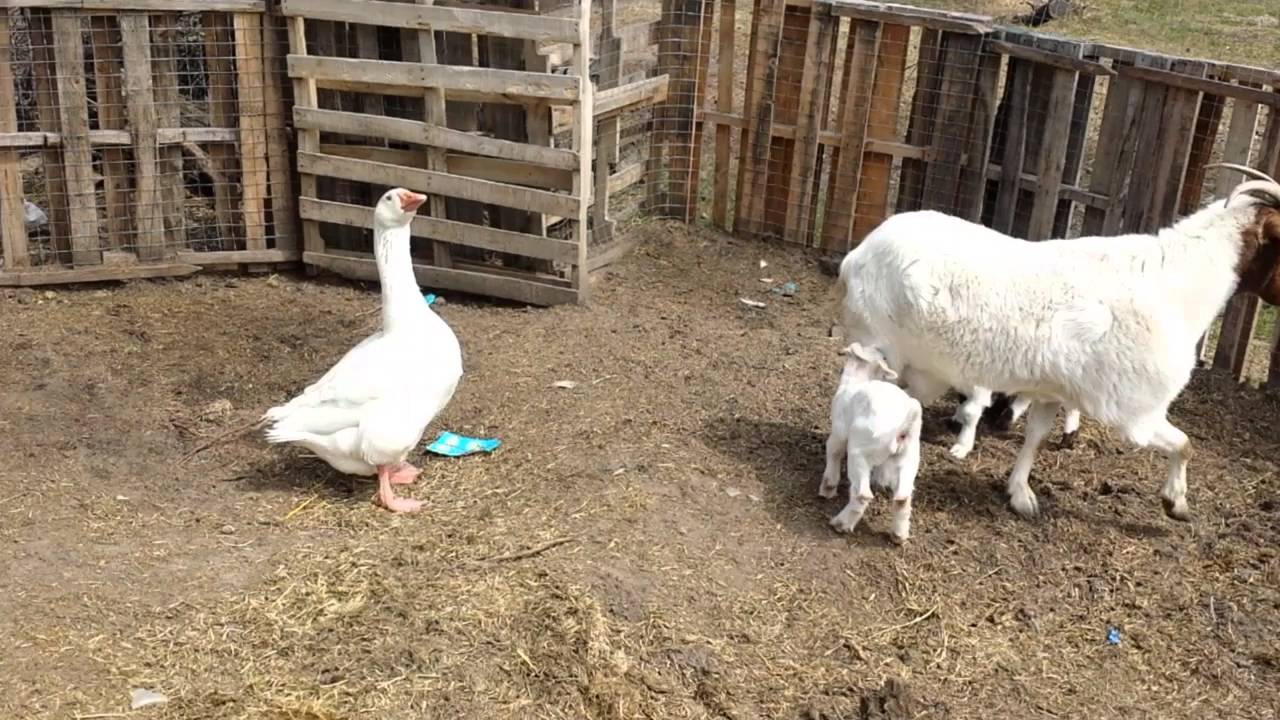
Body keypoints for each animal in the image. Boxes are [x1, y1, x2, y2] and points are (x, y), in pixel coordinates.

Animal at [822, 342, 924, 544]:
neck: (855, 381)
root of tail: (907, 421)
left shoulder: (839, 431)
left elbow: (833, 451)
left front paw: (828, 487)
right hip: (908, 459)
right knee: (902, 498)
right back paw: (898, 535)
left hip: (859, 453)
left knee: (862, 495)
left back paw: (840, 524)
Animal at [837, 164, 1280, 521]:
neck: (1174, 287)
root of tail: (858, 253)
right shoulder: (1137, 413)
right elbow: (1185, 445)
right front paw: (1177, 504)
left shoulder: (1051, 391)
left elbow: (1035, 436)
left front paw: (1020, 495)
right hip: (877, 346)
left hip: (921, 368)